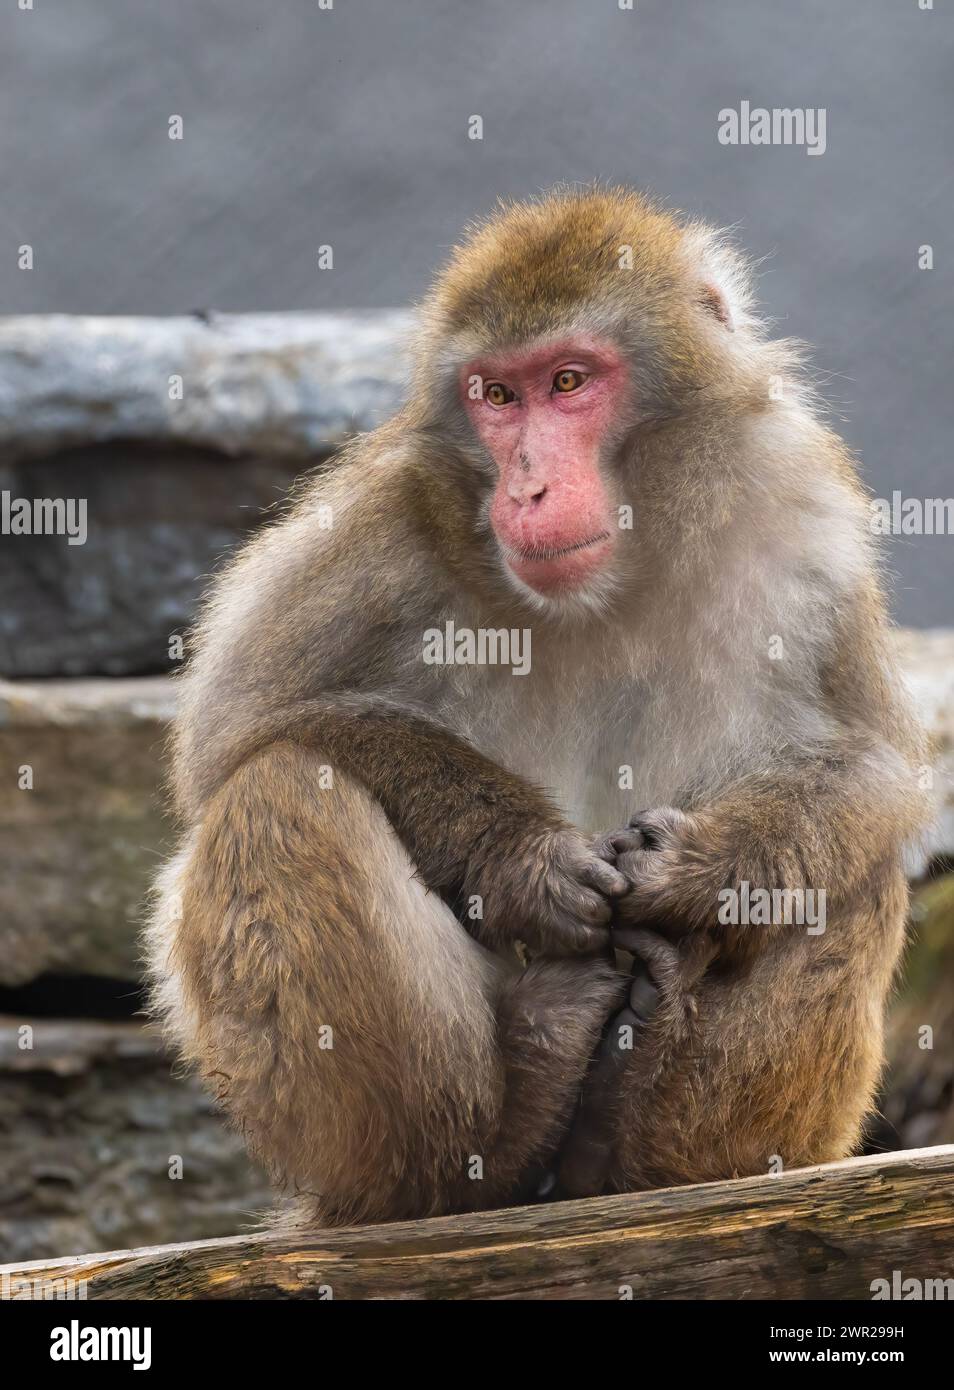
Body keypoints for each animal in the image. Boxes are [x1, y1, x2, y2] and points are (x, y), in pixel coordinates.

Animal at [145, 186, 929, 1227]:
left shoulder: (805, 509)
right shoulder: (385, 520)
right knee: (280, 790)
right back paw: (494, 1125)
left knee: (855, 856)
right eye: (496, 397)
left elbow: (871, 765)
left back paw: (639, 1142)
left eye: (568, 382)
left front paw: (696, 870)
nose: (528, 485)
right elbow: (237, 733)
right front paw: (527, 863)